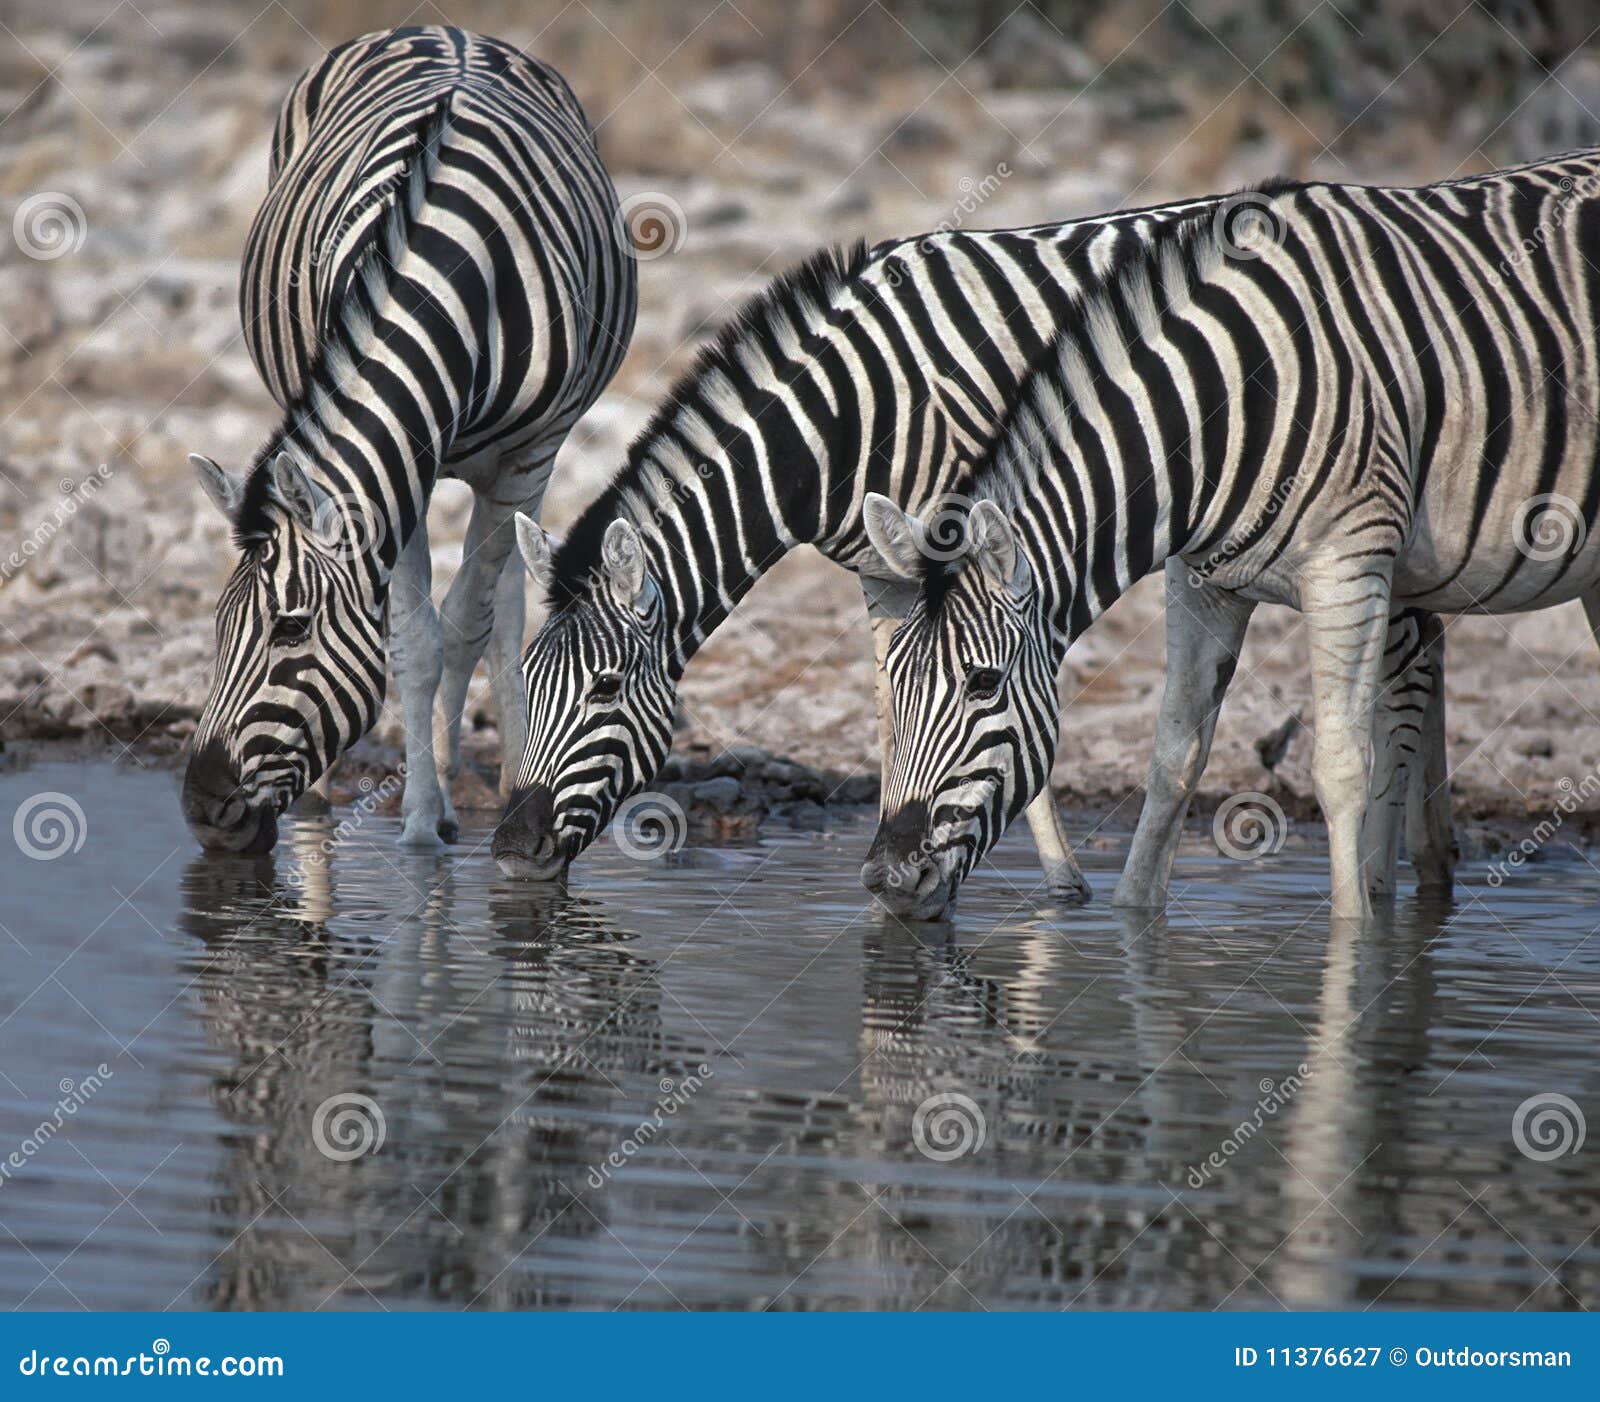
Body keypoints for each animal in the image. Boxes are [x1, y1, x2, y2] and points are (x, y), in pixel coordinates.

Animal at [180, 26, 636, 853]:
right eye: (219, 626)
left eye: (290, 629)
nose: (203, 810)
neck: (454, 275)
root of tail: (450, 31)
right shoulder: (406, 468)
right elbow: (411, 639)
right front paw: (425, 811)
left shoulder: (529, 455)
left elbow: (462, 628)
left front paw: (433, 813)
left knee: (505, 603)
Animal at [488, 197, 1453, 889]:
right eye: (524, 685)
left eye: (605, 689)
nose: (510, 851)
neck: (847, 415)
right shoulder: (884, 570)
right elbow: (899, 702)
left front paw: (1057, 885)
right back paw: (1433, 862)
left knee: (1407, 659)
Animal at [857, 149, 1600, 921]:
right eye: (893, 681)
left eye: (983, 682)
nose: (887, 878)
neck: (1230, 399)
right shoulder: (1202, 580)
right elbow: (1173, 756)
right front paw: (1134, 921)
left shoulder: (1351, 565)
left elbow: (1342, 767)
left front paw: (1356, 937)